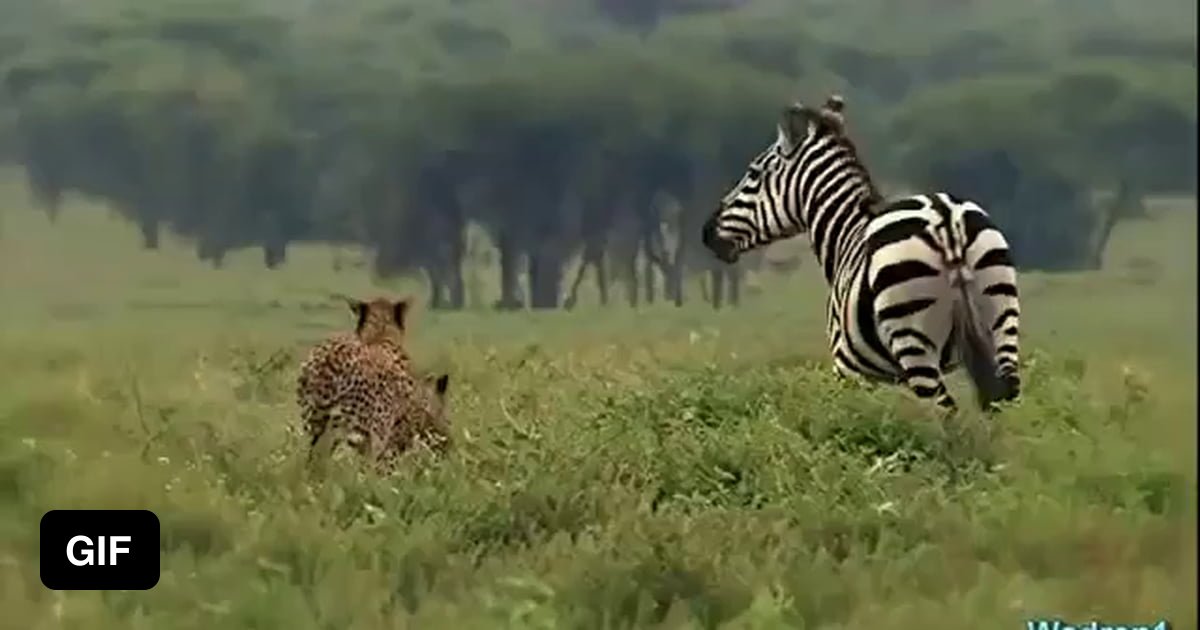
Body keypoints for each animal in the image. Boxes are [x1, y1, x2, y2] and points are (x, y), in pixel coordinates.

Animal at [700, 95, 1020, 411]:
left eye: (753, 173)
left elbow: (854, 417)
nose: (707, 233)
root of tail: (945, 221)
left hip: (914, 341)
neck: (845, 231)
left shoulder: (847, 369)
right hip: (1002, 322)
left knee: (945, 411)